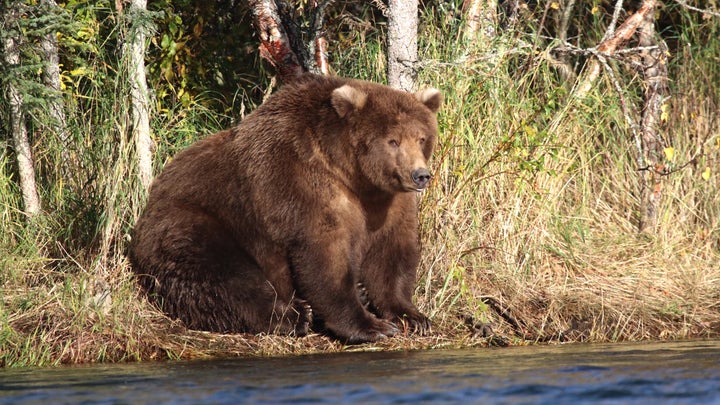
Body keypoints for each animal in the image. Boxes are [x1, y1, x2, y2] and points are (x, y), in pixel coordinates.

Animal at [128, 73, 442, 344]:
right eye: (393, 140)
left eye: (421, 138)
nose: (420, 175)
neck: (352, 175)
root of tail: (147, 206)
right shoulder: (300, 183)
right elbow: (324, 254)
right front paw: (371, 325)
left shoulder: (387, 202)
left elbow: (392, 252)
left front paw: (412, 317)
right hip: (195, 223)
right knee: (226, 276)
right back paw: (295, 315)